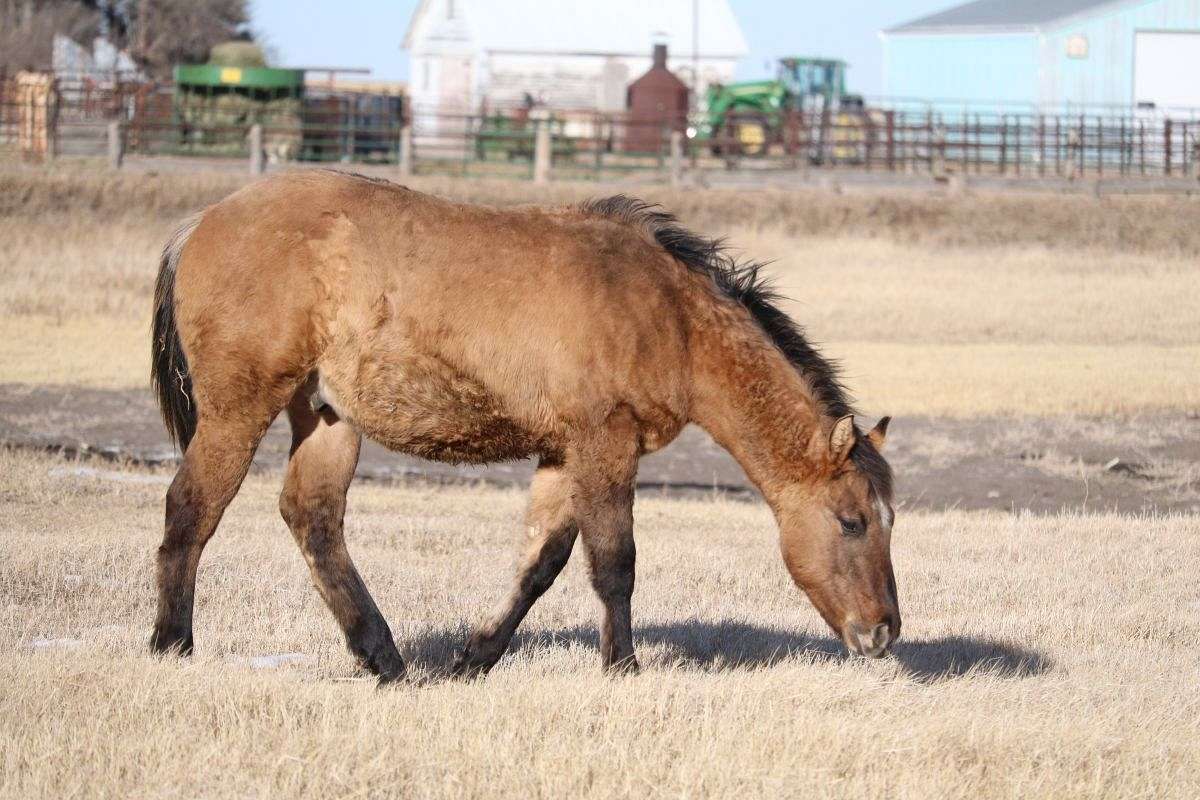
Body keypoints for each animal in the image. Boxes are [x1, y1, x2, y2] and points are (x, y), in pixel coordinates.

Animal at [149, 170, 898, 683]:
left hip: (327, 415)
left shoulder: (565, 454)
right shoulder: (604, 443)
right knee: (192, 508)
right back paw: (171, 645)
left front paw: (475, 657)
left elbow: (541, 562)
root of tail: (201, 221)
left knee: (313, 520)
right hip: (239, 410)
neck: (667, 315)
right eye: (852, 521)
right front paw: (622, 666)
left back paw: (384, 659)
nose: (885, 632)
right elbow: (614, 563)